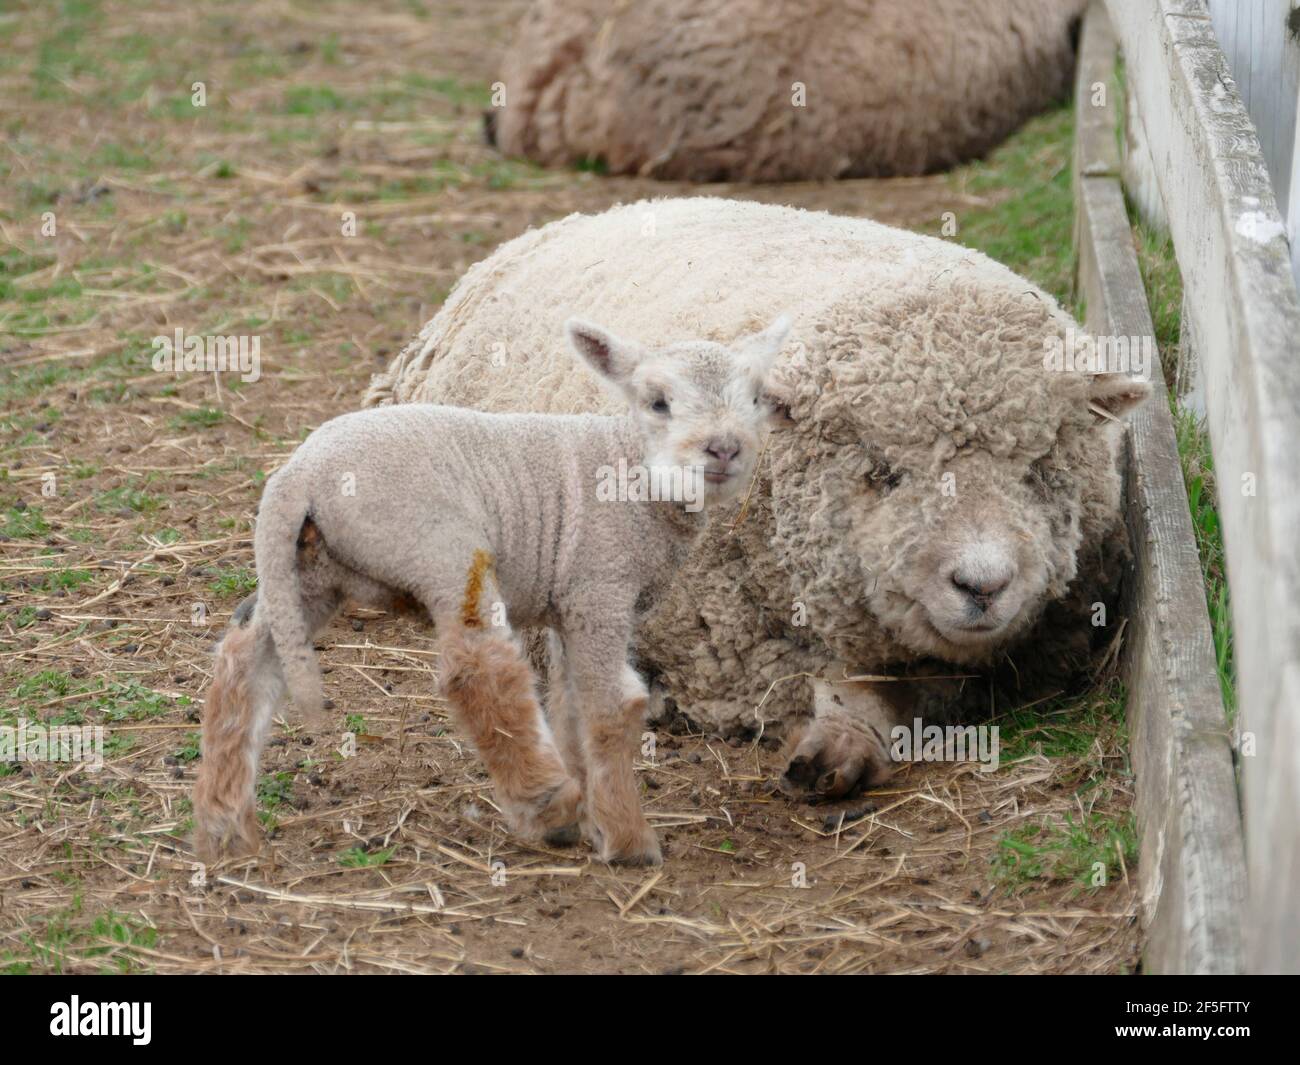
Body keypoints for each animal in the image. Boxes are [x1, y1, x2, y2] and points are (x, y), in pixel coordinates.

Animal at [193, 314, 791, 866]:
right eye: (658, 403)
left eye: (756, 398)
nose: (724, 450)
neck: (630, 470)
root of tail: (298, 474)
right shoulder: (599, 586)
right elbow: (609, 705)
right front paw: (626, 840)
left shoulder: (568, 604)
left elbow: (568, 706)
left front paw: (597, 817)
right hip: (439, 547)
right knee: (477, 670)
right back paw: (547, 806)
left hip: (307, 567)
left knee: (246, 657)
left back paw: (223, 821)